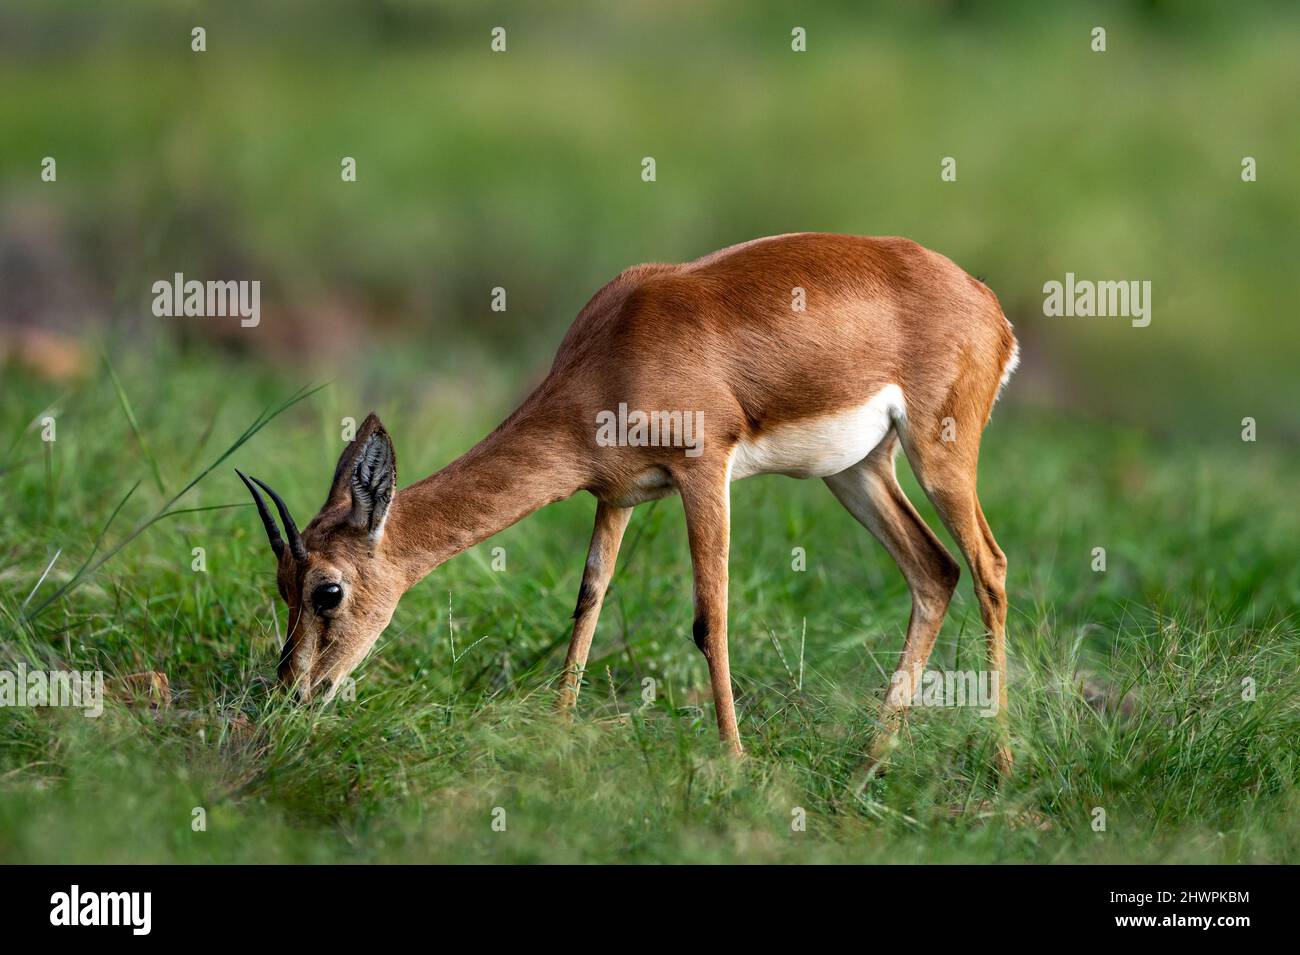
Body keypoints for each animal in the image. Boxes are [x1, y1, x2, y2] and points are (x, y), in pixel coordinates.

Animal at [238, 233, 1019, 773]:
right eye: (280, 585)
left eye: (328, 590)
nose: (294, 691)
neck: (615, 349)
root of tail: (991, 307)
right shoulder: (616, 496)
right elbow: (588, 600)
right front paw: (558, 735)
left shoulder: (704, 470)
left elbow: (711, 618)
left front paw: (735, 762)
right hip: (858, 471)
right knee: (935, 571)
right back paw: (869, 762)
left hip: (939, 454)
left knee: (989, 566)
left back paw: (1002, 762)